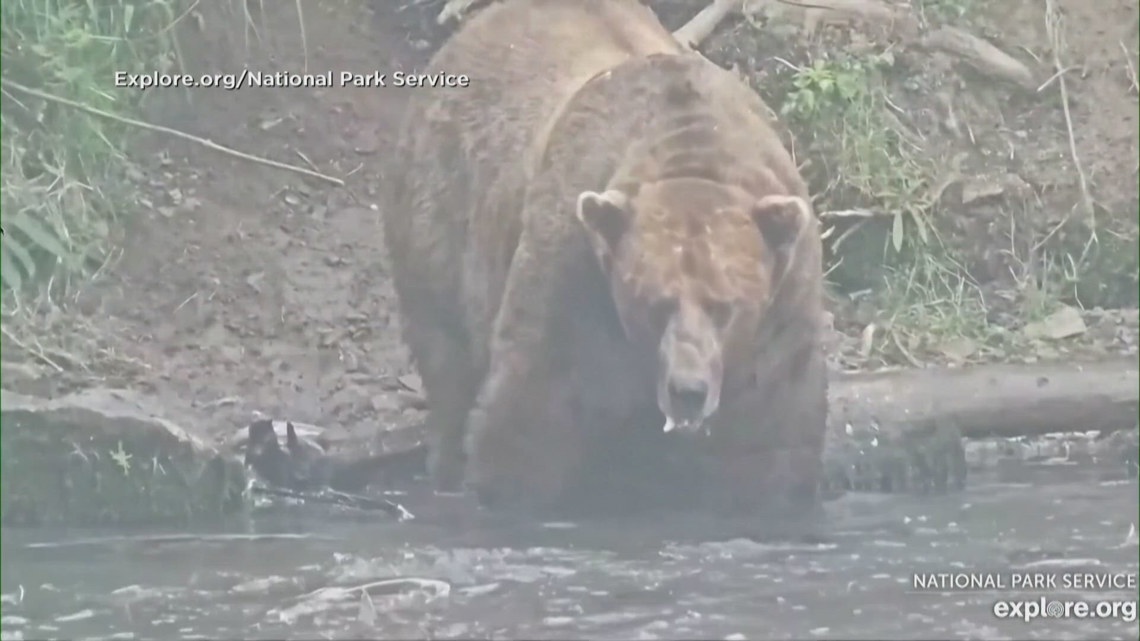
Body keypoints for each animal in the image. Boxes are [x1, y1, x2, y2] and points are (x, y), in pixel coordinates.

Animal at [382, 0, 828, 516]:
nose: (688, 391)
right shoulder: (574, 278)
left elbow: (767, 443)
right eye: (655, 303)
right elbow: (528, 416)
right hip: (441, 212)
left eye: (724, 306)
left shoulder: (782, 307)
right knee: (446, 352)